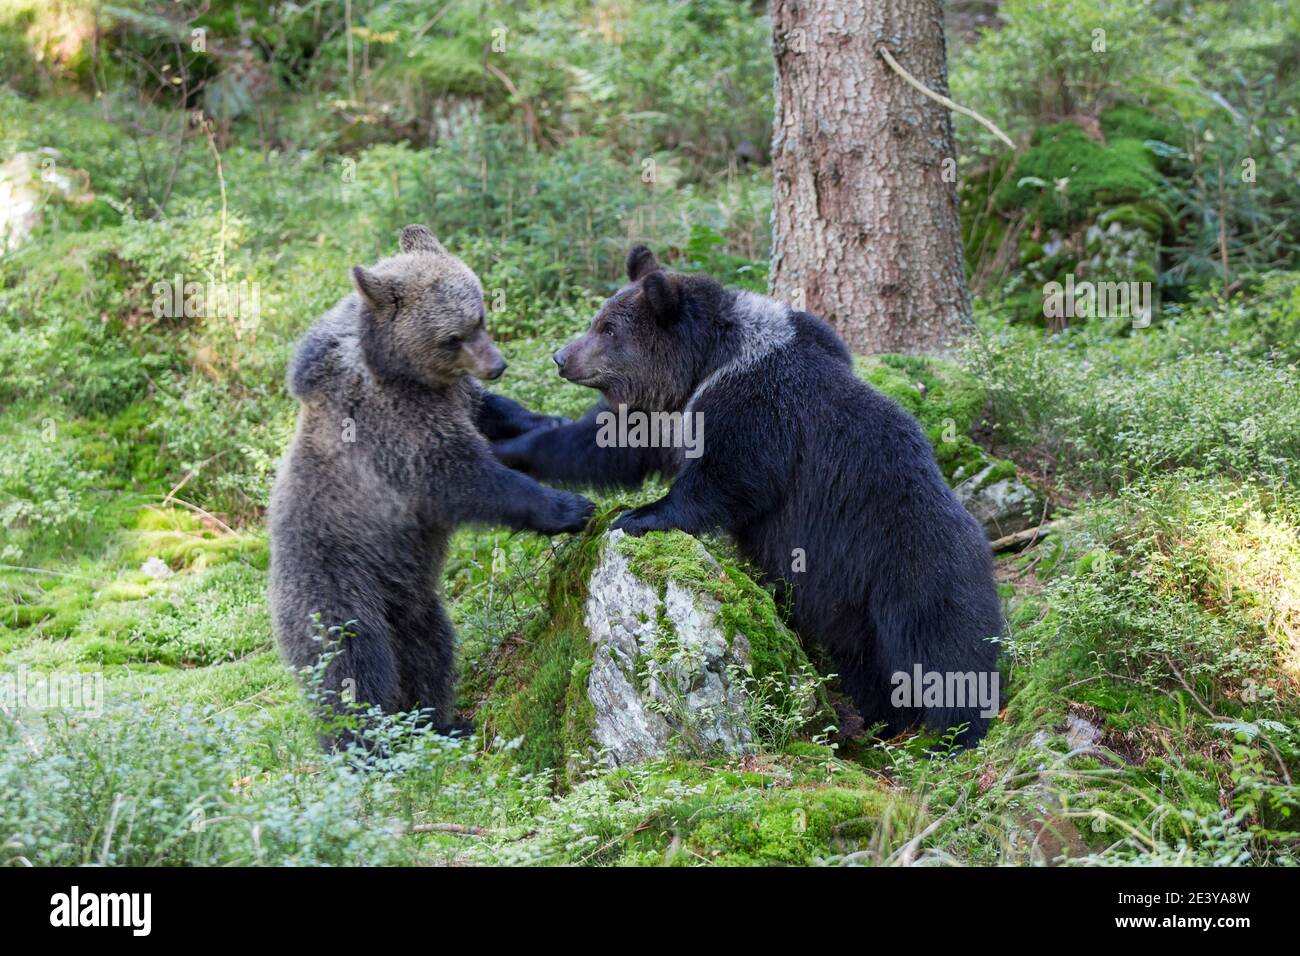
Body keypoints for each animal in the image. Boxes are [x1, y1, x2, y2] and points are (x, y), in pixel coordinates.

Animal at [269, 224, 593, 747]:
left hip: (408, 592)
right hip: (336, 584)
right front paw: (567, 507)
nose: (497, 365)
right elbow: (462, 476)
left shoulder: (455, 397)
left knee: (428, 644)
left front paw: (552, 424)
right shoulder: (394, 427)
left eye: (480, 317)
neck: (400, 371)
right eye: (451, 337)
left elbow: (493, 414)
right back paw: (367, 745)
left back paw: (440, 721)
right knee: (352, 669)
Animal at [494, 246, 1004, 746]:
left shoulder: (756, 406)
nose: (561, 356)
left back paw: (954, 731)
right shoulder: (667, 418)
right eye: (597, 318)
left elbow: (730, 475)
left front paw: (641, 515)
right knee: (863, 659)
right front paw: (514, 448)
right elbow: (606, 442)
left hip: (913, 564)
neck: (702, 367)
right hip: (851, 600)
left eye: (608, 328)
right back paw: (879, 720)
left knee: (944, 649)